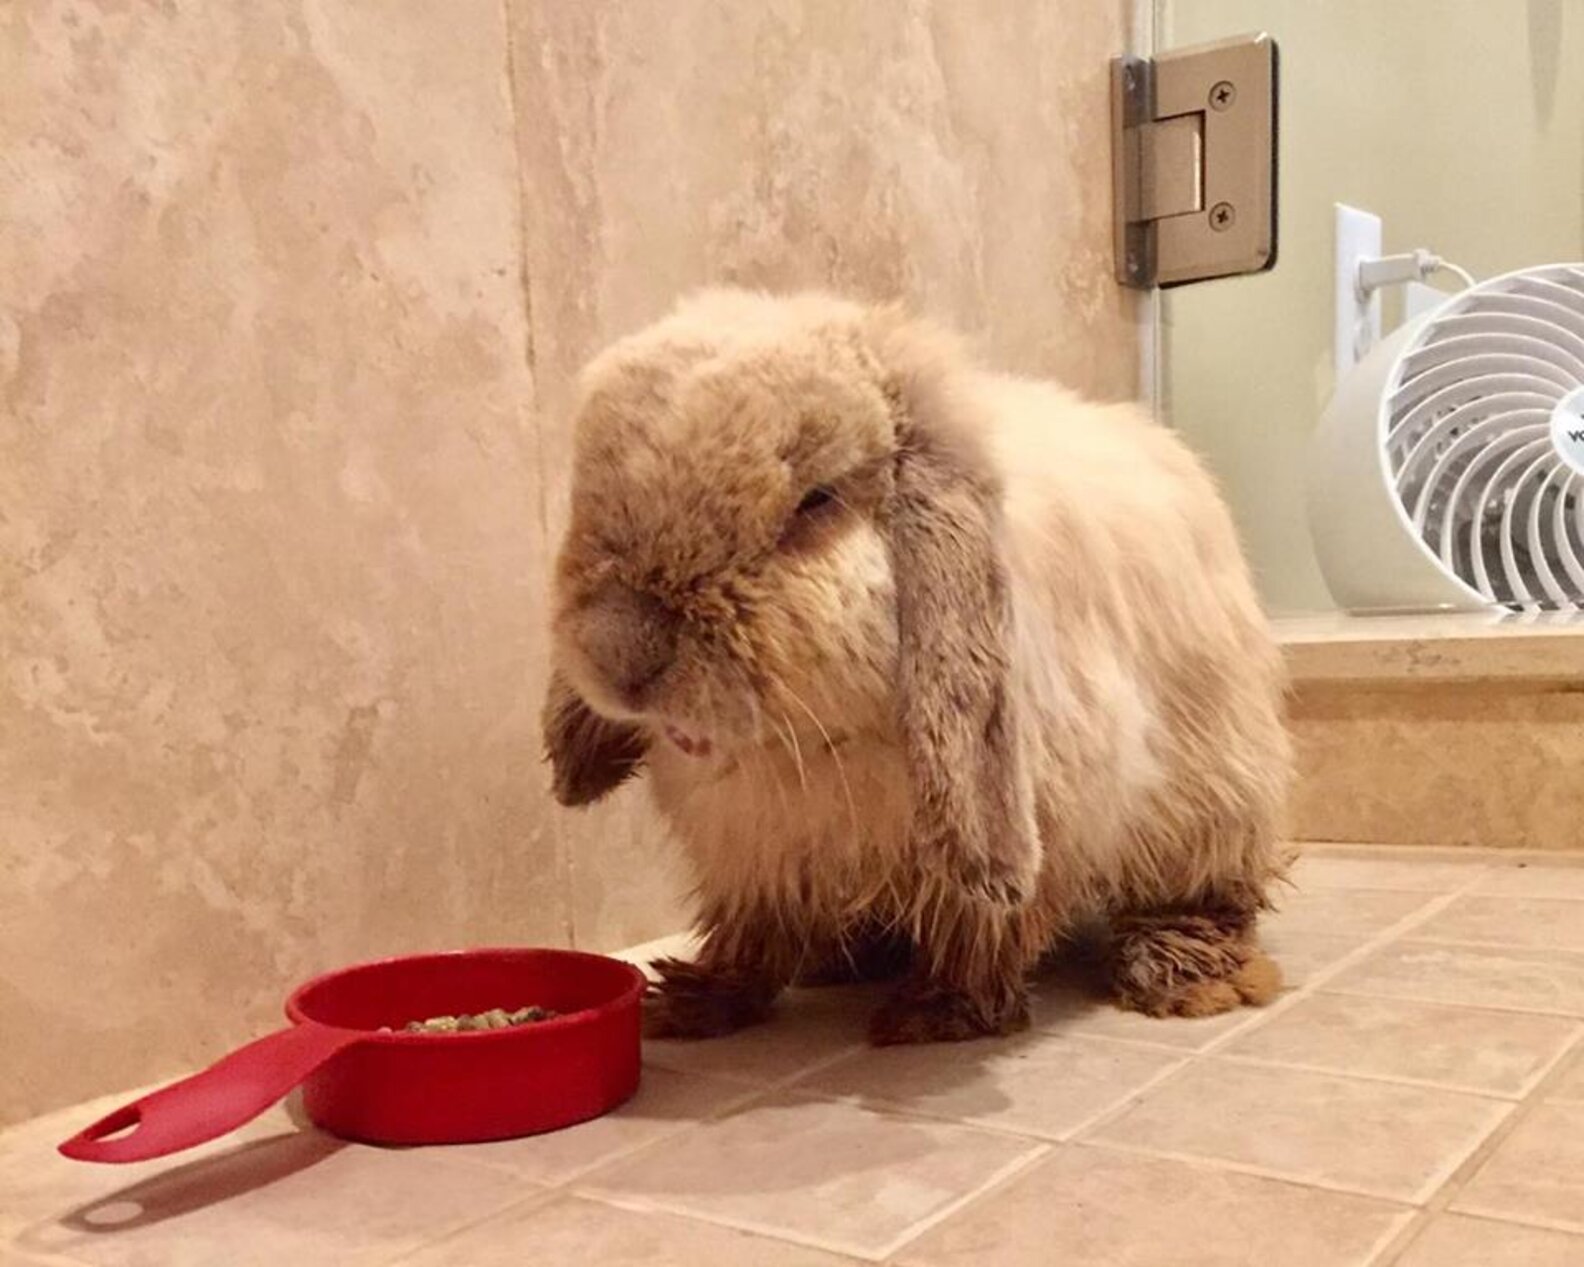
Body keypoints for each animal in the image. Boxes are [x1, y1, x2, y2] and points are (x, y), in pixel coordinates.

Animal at [542, 288, 1290, 1045]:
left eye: (816, 501)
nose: (617, 655)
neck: (815, 742)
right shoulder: (755, 853)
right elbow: (753, 932)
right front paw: (691, 1001)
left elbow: (982, 928)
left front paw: (936, 1011)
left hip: (1209, 789)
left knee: (1207, 891)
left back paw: (1185, 975)